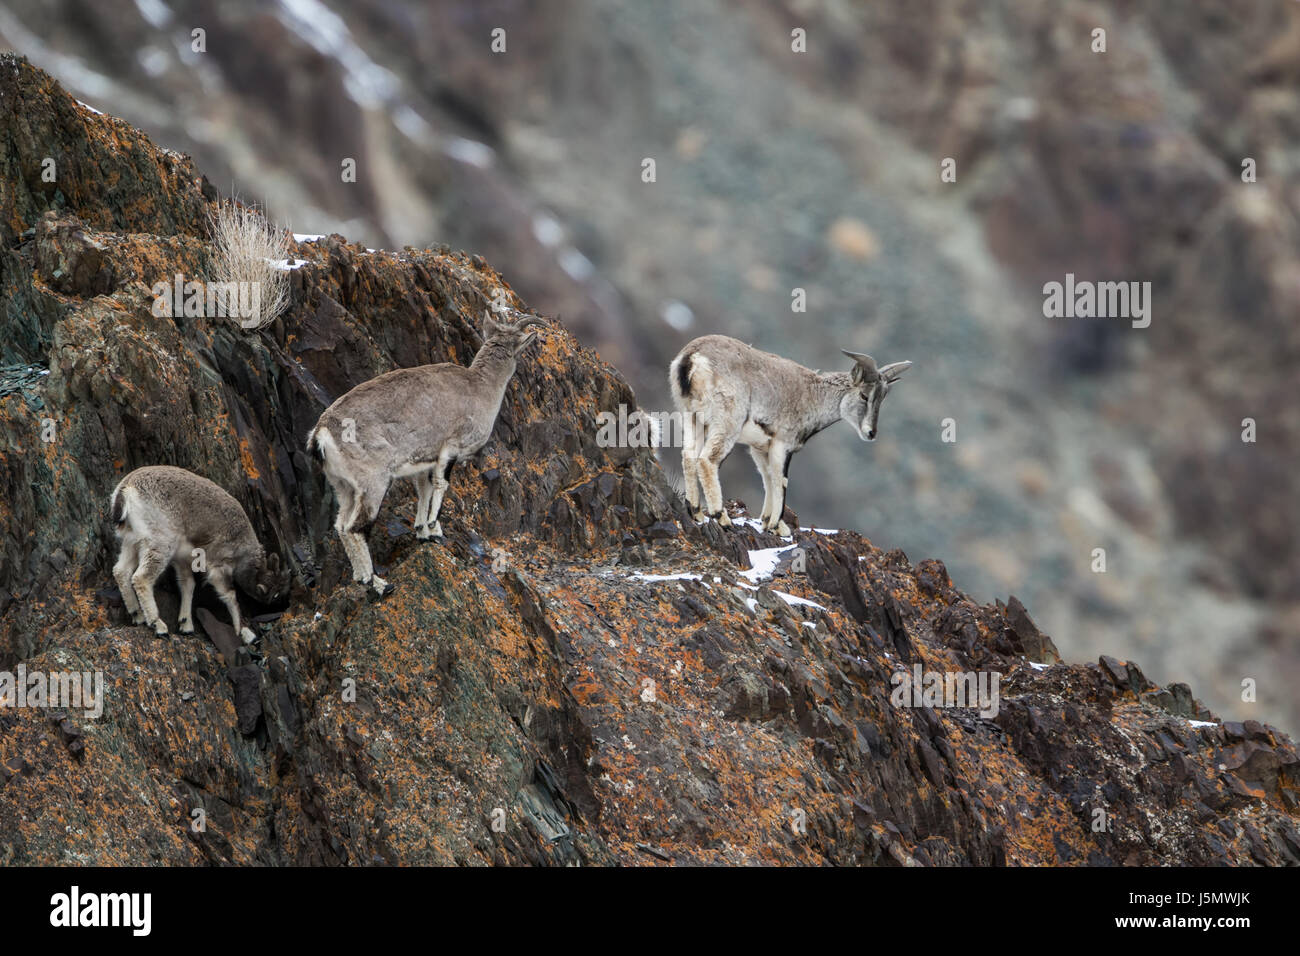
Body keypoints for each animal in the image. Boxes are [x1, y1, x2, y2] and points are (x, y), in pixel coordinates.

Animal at [110, 465, 284, 642]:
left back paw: (137, 615)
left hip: (132, 541)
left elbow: (188, 584)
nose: (274, 606)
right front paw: (246, 633)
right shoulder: (218, 564)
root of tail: (125, 489)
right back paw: (158, 625)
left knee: (121, 571)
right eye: (275, 594)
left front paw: (186, 624)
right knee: (141, 577)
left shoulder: (182, 560)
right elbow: (230, 594)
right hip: (159, 543)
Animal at [307, 310, 545, 596]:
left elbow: (425, 489)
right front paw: (433, 528)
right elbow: (442, 485)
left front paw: (422, 531)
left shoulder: (425, 462)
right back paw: (380, 585)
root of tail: (321, 434)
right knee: (357, 527)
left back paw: (361, 577)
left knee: (341, 525)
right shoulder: (451, 447)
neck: (479, 389)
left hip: (343, 487)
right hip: (373, 482)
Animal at [669, 334, 912, 535]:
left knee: (688, 457)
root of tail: (691, 358)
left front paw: (767, 521)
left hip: (692, 418)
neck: (813, 395)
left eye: (882, 397)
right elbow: (781, 480)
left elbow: (767, 477)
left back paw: (696, 511)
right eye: (863, 395)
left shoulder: (760, 447)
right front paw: (778, 526)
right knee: (707, 460)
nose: (870, 432)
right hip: (727, 422)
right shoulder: (782, 443)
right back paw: (721, 517)